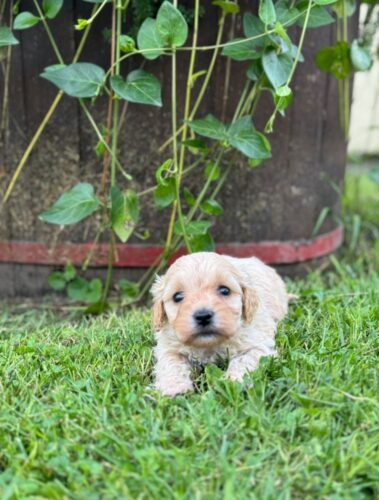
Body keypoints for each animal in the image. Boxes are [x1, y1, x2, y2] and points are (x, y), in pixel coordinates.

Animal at [151, 252, 290, 396]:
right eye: (177, 297)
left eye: (225, 290)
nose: (203, 316)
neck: (209, 345)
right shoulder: (168, 348)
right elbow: (171, 364)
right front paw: (175, 387)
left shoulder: (257, 345)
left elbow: (243, 360)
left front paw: (232, 381)